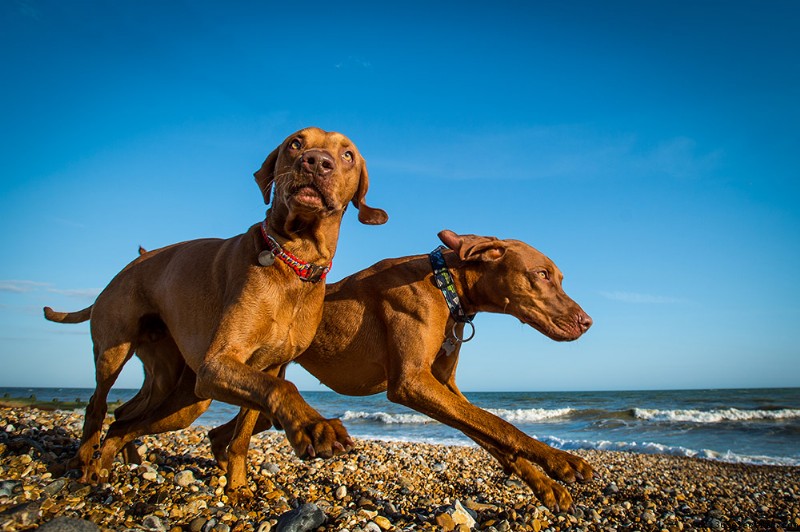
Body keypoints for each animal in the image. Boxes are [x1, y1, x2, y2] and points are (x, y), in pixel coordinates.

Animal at [43, 127, 388, 484]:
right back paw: (84, 461)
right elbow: (284, 388)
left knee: (124, 419)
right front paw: (315, 427)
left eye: (347, 154)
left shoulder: (266, 367)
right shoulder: (215, 365)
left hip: (173, 388)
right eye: (295, 143)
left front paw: (238, 486)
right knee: (97, 405)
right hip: (119, 353)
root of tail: (123, 270)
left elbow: (243, 434)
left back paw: (119, 462)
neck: (293, 262)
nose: (317, 161)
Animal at [103, 230, 592, 512]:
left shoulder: (445, 388)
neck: (445, 286)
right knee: (122, 422)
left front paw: (543, 484)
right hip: (193, 395)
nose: (587, 322)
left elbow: (493, 433)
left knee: (218, 434)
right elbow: (501, 425)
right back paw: (103, 471)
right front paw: (561, 460)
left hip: (252, 396)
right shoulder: (414, 385)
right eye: (541, 274)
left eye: (559, 277)